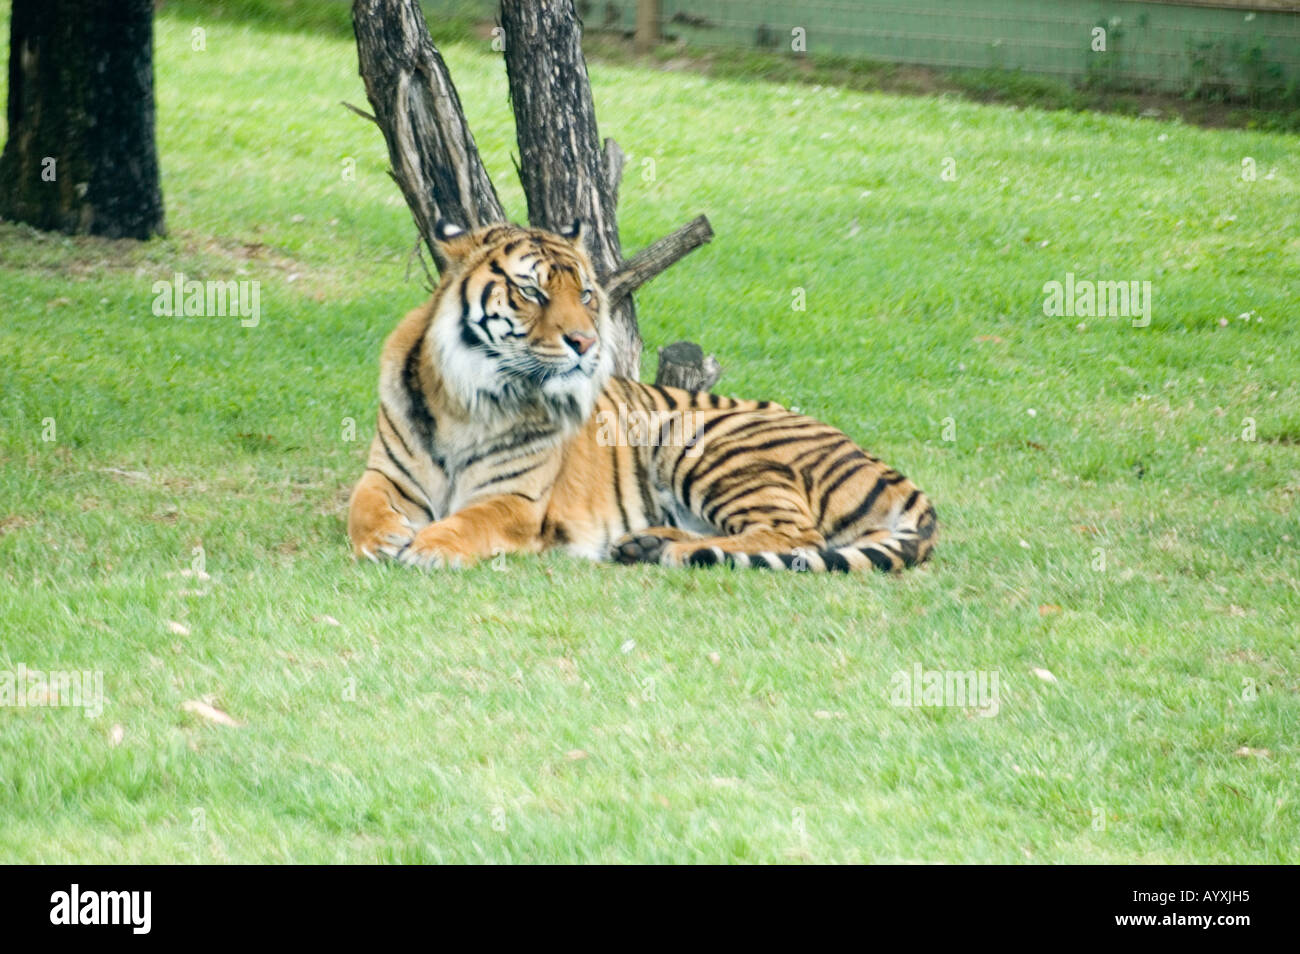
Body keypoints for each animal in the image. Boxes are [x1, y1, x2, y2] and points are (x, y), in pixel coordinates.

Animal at [347, 219, 936, 572]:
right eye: (532, 291)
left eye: (586, 293)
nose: (585, 342)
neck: (468, 400)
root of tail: (884, 467)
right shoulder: (387, 474)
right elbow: (362, 504)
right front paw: (382, 537)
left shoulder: (515, 499)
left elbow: (470, 521)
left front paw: (429, 545)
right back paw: (646, 542)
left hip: (705, 447)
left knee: (795, 536)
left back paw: (674, 550)